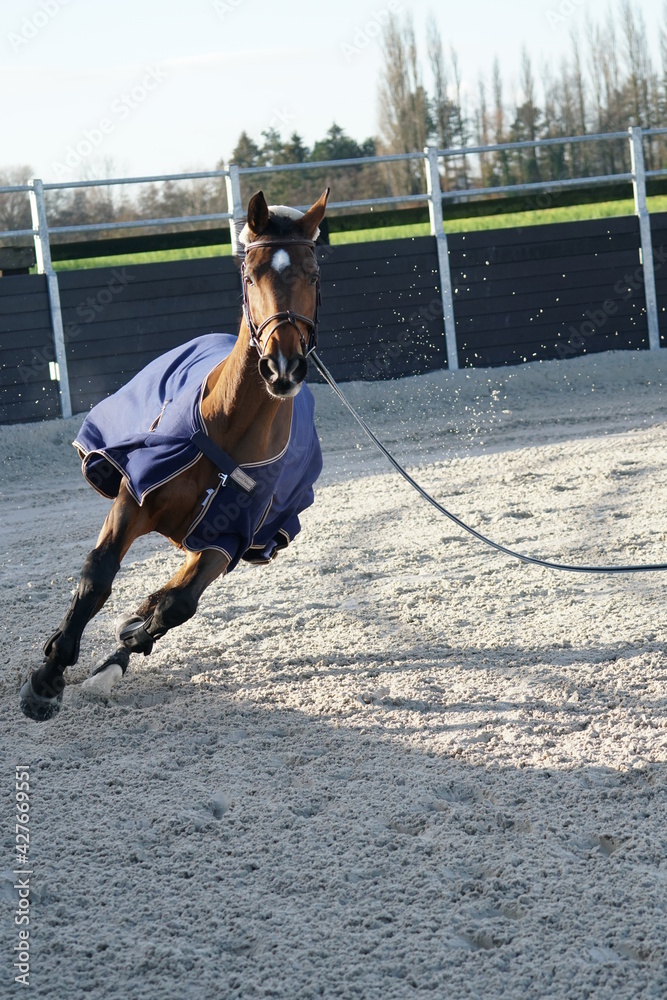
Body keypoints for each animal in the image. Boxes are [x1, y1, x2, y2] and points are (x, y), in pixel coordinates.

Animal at [19, 188, 330, 722]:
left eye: (311, 274)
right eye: (252, 275)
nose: (282, 367)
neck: (227, 431)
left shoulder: (226, 536)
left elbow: (177, 605)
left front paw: (129, 636)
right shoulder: (135, 496)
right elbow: (98, 575)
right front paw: (48, 677)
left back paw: (120, 655)